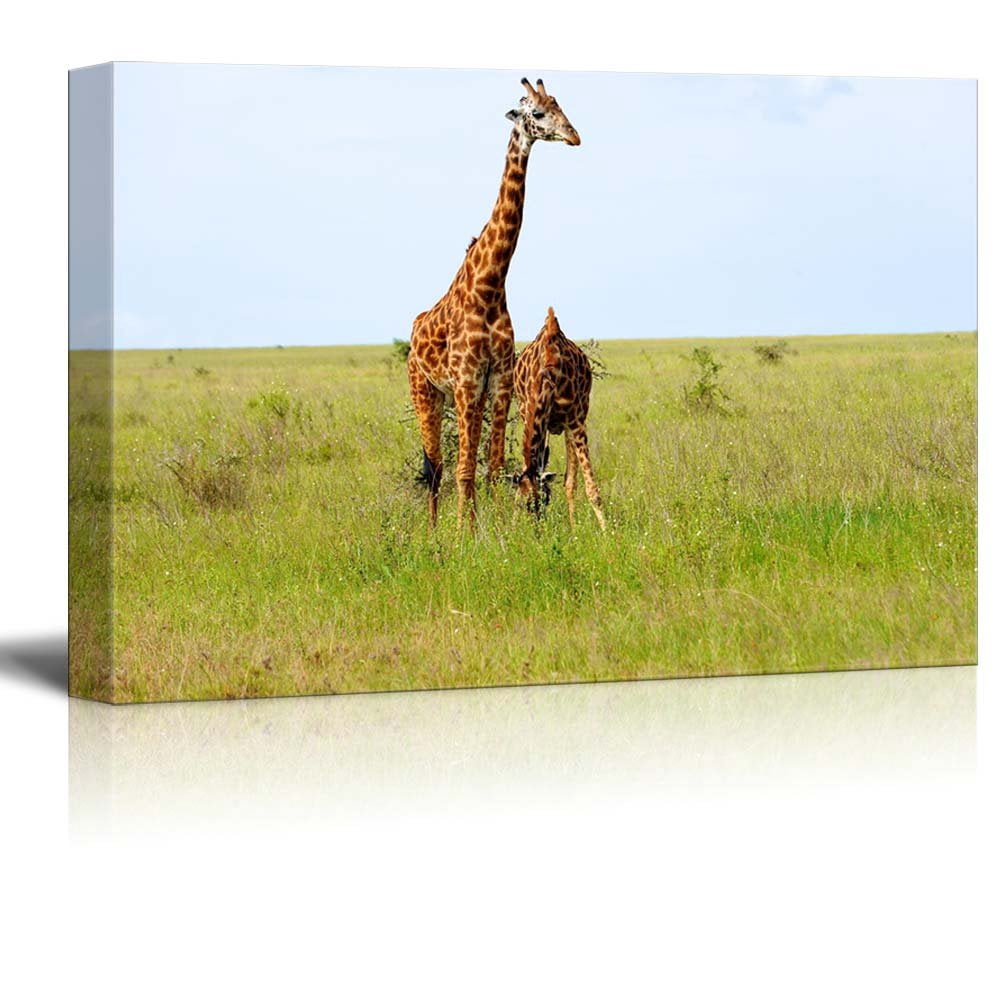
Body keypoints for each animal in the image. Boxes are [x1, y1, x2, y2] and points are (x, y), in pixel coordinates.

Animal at [408, 77, 581, 527]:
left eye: (560, 106)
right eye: (536, 113)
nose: (574, 136)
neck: (490, 284)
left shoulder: (499, 381)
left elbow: (494, 465)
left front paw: (498, 529)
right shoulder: (468, 380)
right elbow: (464, 468)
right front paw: (464, 534)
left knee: (446, 465)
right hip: (425, 391)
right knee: (435, 467)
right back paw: (433, 531)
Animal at [513, 307, 606, 531]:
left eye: (541, 501)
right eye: (522, 505)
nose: (537, 531)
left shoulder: (575, 420)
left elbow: (590, 488)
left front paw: (608, 532)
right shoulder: (527, 412)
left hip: (572, 421)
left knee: (570, 480)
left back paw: (573, 528)